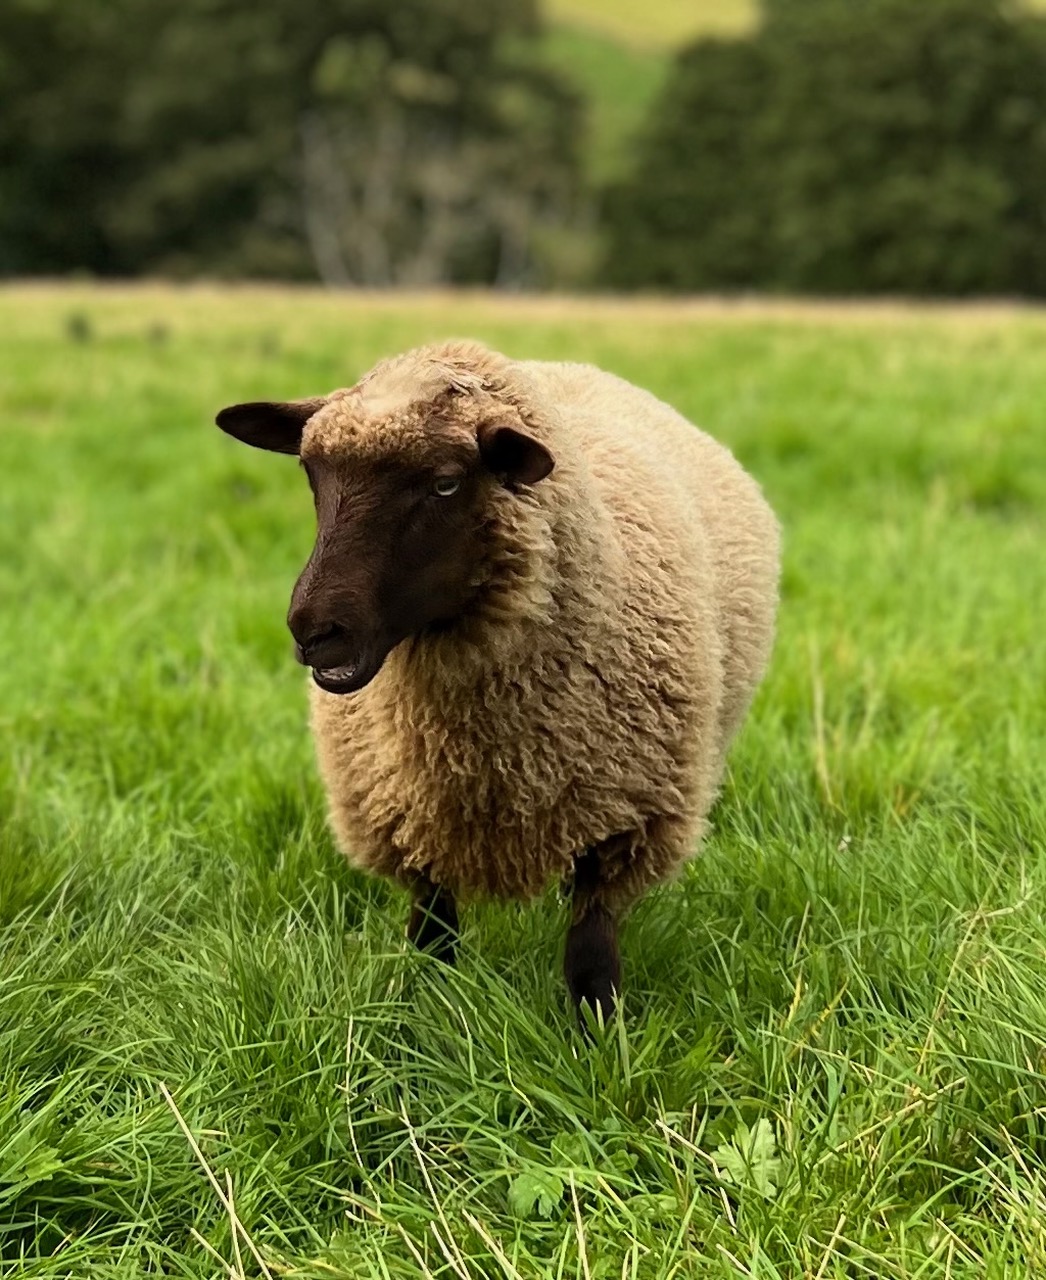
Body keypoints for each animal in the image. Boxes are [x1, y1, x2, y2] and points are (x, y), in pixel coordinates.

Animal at [216, 339, 780, 1023]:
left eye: (446, 482)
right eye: (310, 474)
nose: (315, 630)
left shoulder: (622, 824)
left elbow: (591, 958)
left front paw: (597, 1040)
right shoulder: (411, 819)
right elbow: (432, 940)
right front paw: (426, 1016)